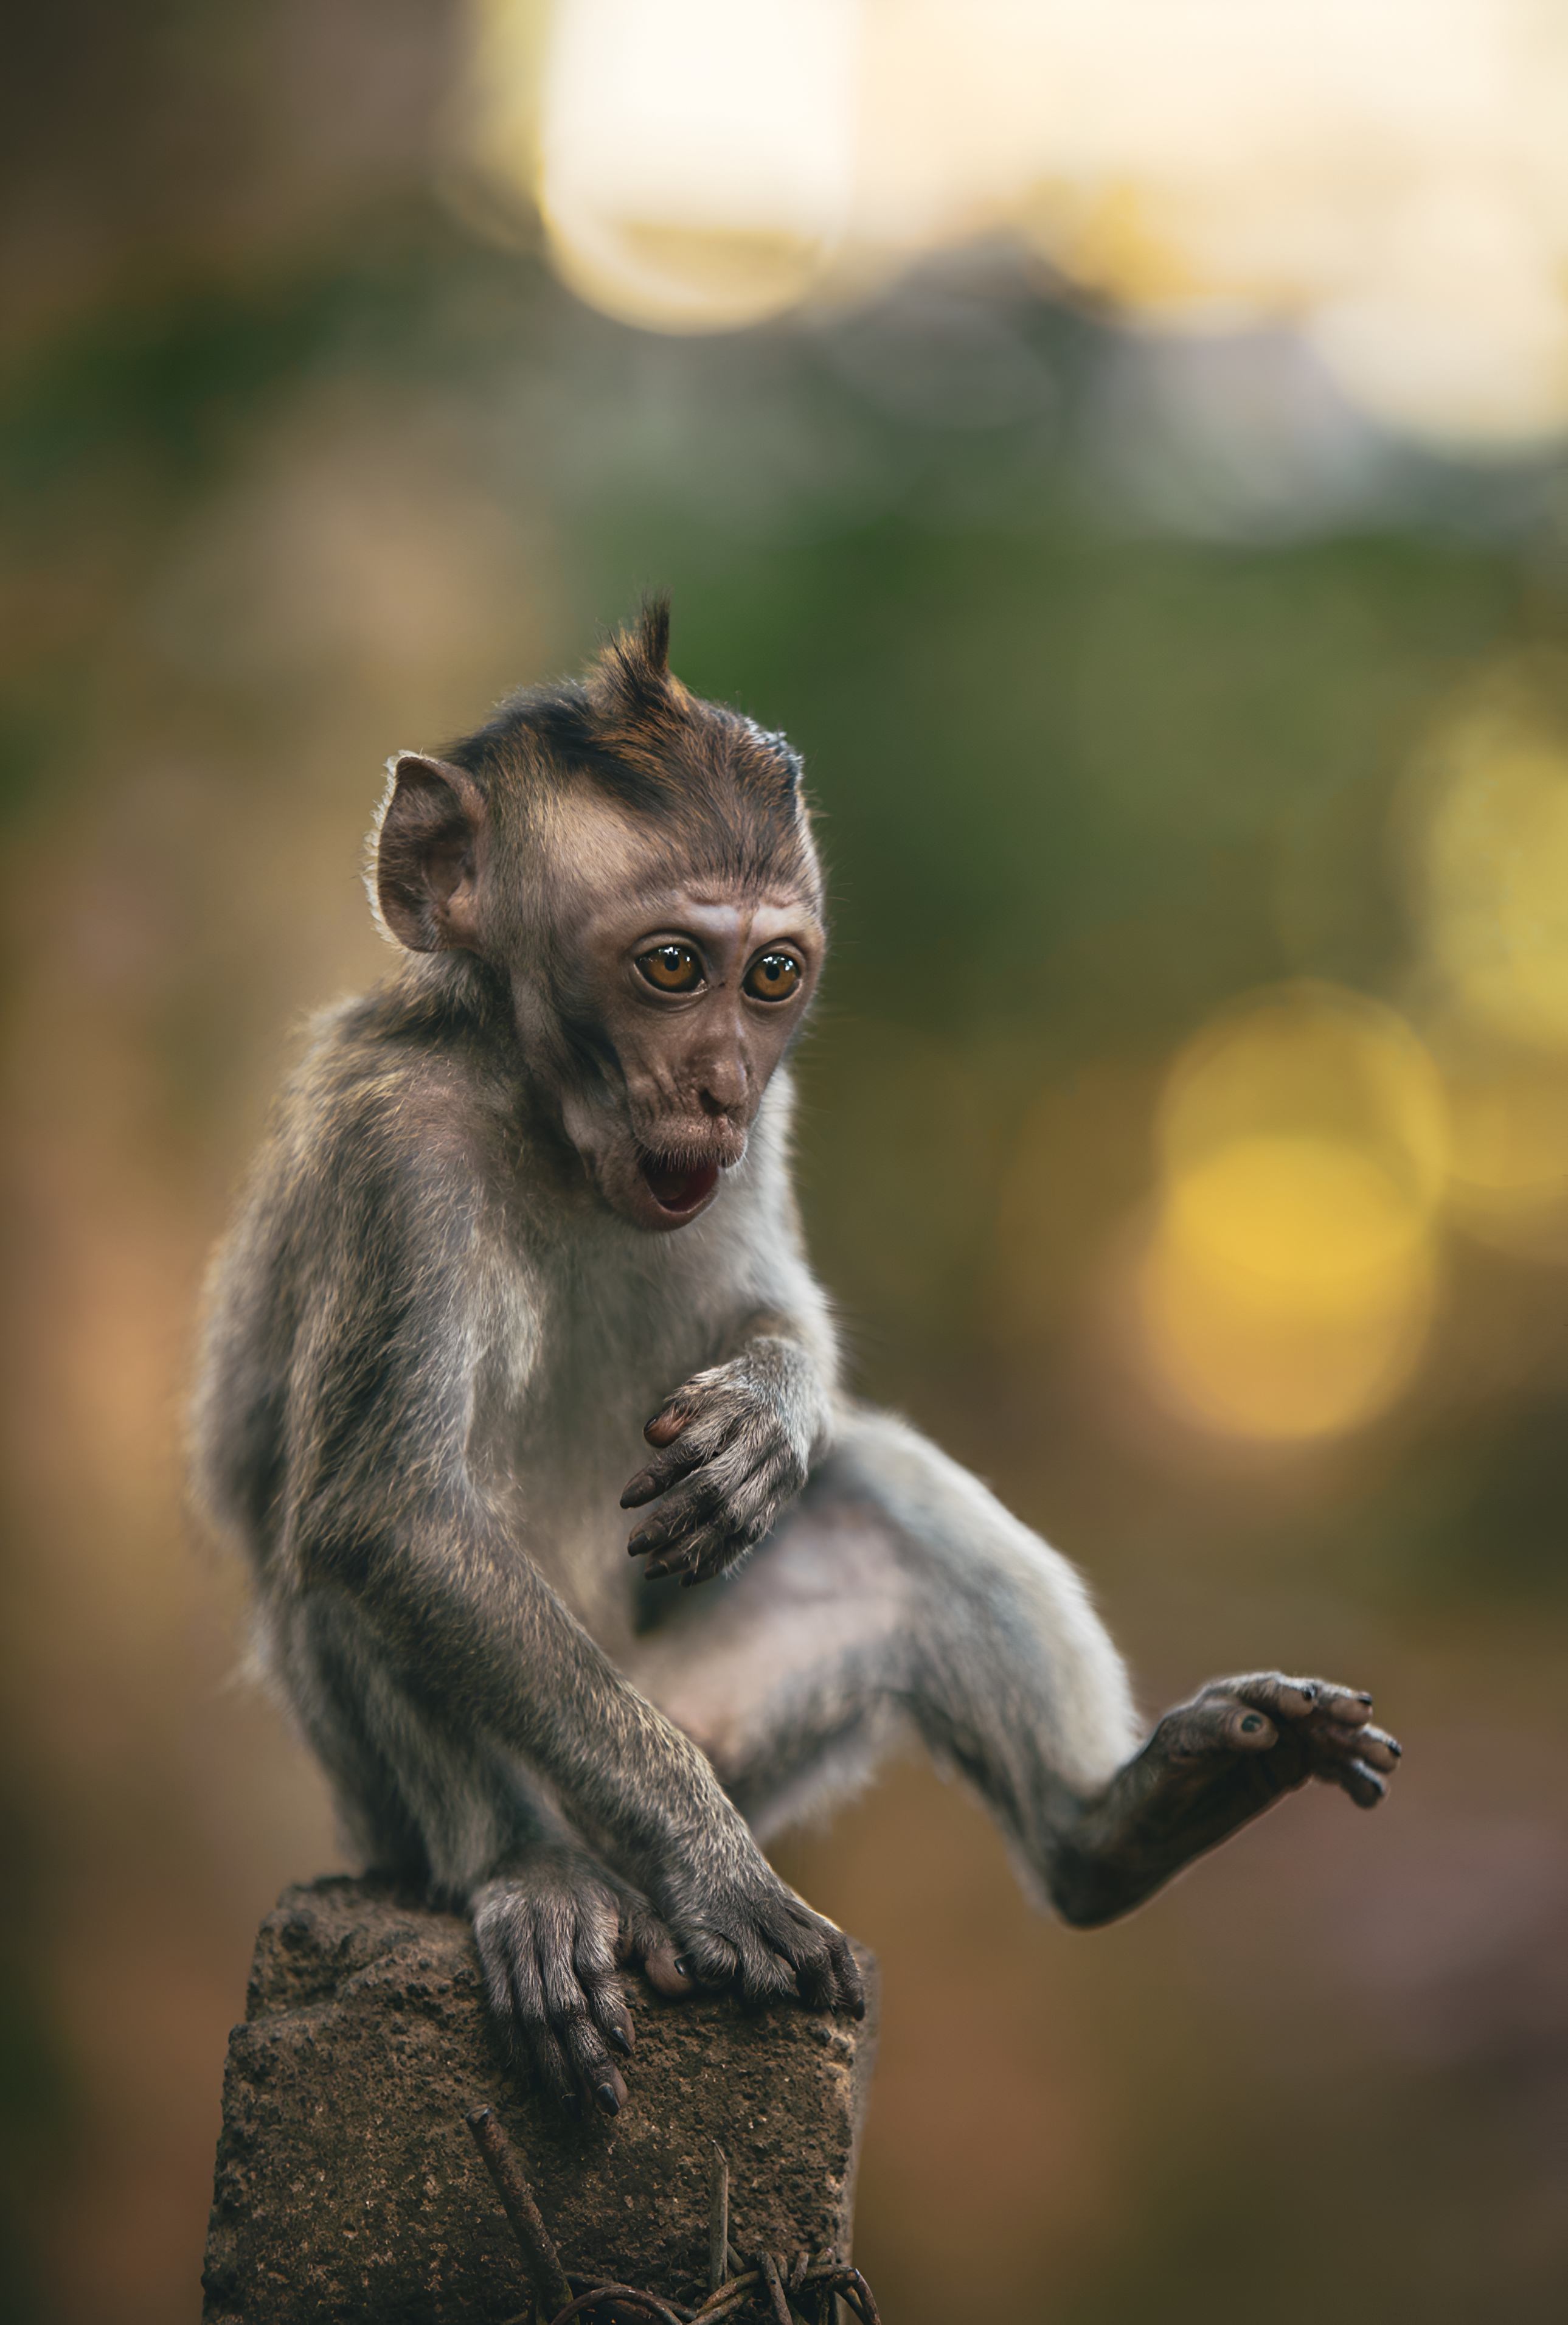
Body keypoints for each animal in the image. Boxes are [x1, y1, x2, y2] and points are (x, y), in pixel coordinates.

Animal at [191, 598, 1400, 2120]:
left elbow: (786, 1313)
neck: (546, 1123)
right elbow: (389, 1514)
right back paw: (535, 1875)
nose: (718, 1083)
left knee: (879, 1490)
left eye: (772, 972)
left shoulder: (764, 1132)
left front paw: (770, 1415)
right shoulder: (393, 1152)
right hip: (451, 1793)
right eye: (669, 965)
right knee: (345, 1553)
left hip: (737, 1718)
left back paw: (1110, 1829)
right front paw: (717, 1876)